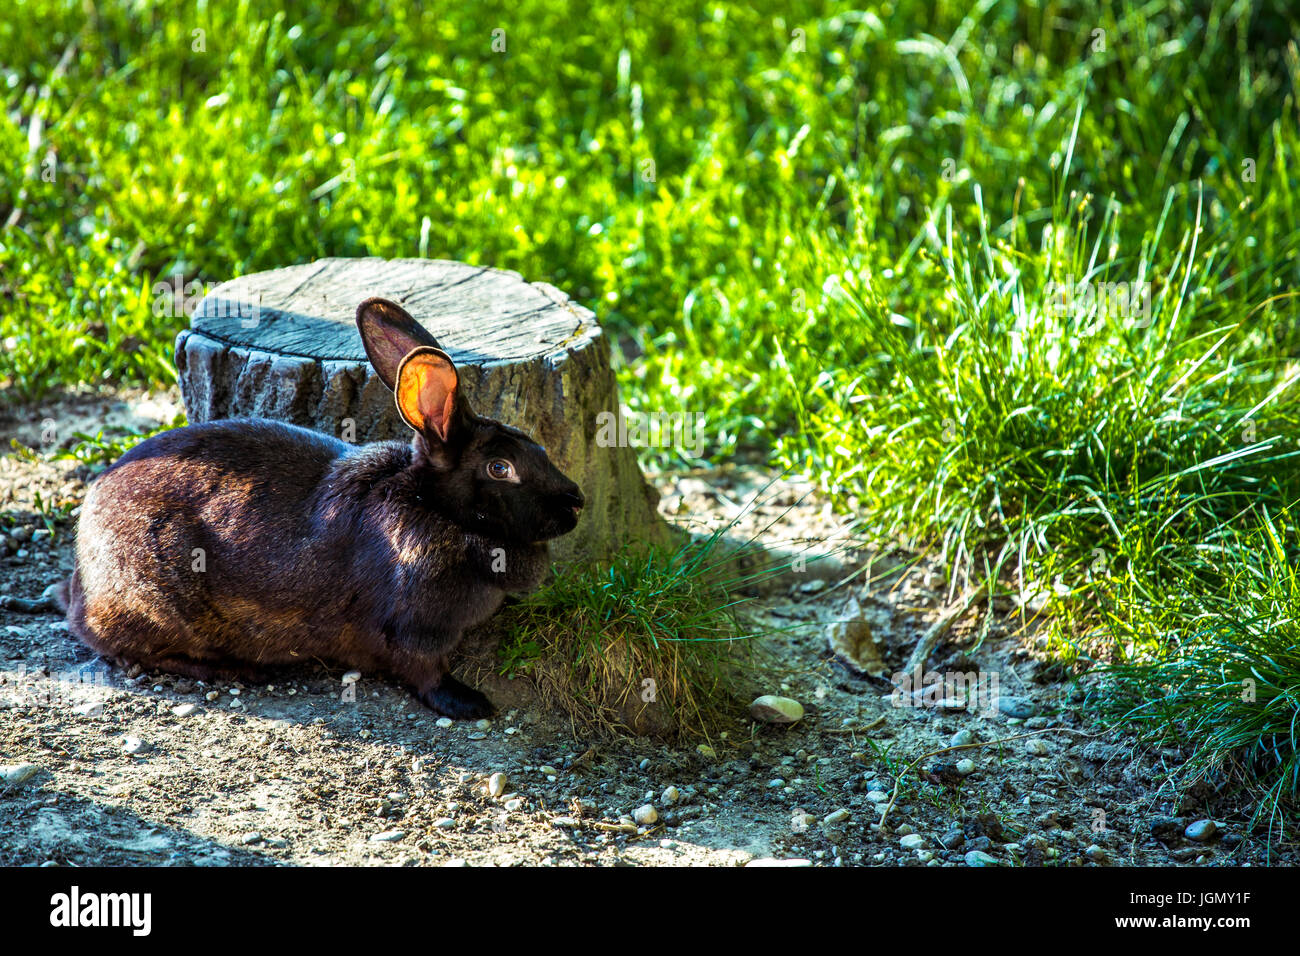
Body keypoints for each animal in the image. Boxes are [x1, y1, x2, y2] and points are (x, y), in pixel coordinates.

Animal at [56, 296, 584, 719]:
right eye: (501, 468)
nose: (576, 503)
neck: (436, 509)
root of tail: (84, 570)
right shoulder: (411, 630)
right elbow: (425, 672)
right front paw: (470, 704)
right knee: (112, 641)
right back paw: (233, 668)